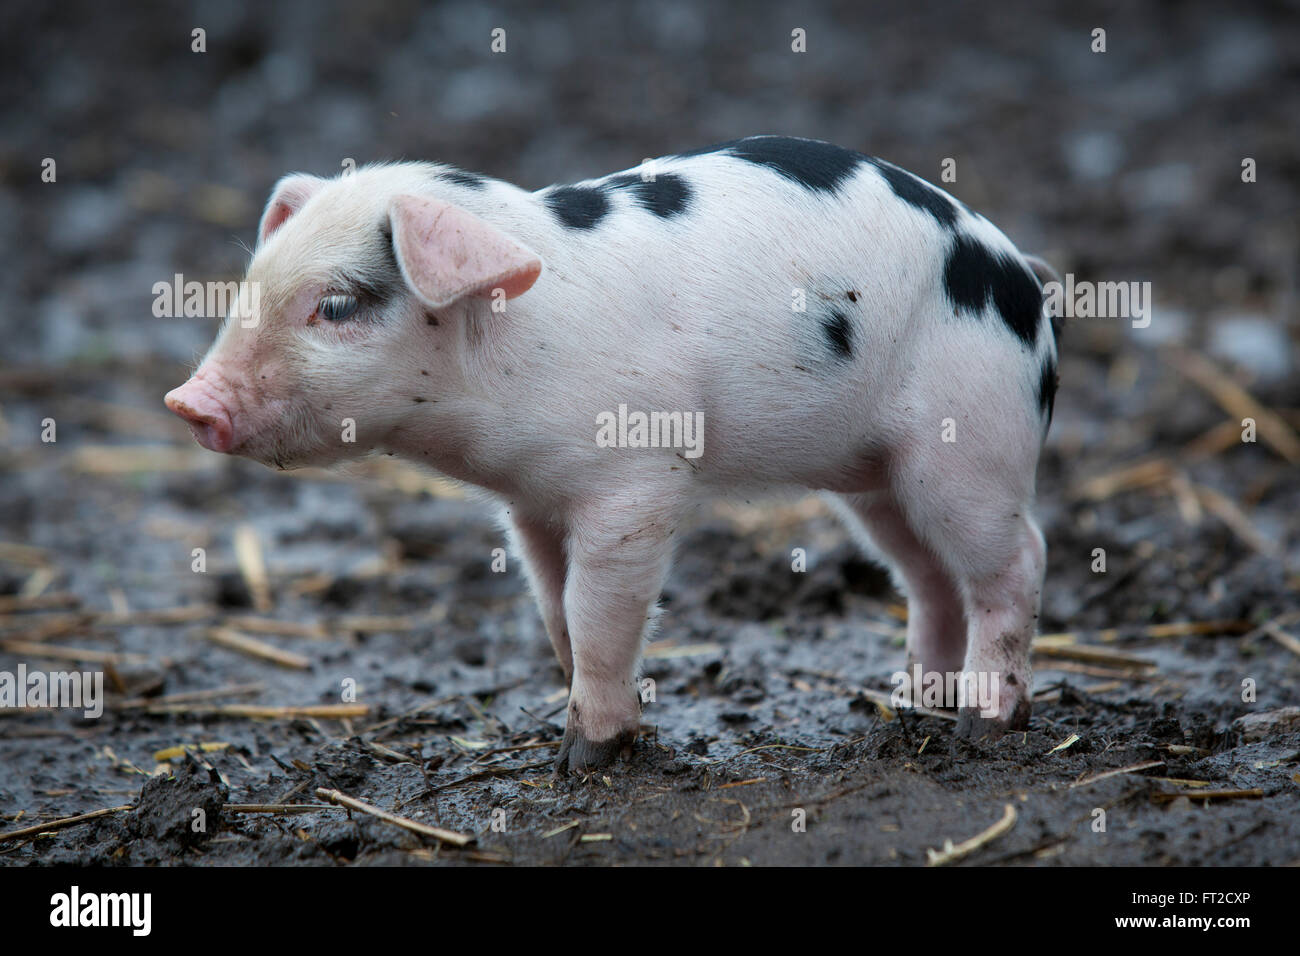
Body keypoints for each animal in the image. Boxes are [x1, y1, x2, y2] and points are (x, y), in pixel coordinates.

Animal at [165, 136, 1061, 773]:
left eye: (338, 306)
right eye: (250, 285)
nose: (188, 402)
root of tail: (1024, 276)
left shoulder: (636, 483)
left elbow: (598, 614)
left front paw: (586, 758)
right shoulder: (529, 505)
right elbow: (554, 612)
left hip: (968, 444)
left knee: (1018, 557)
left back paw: (985, 723)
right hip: (877, 478)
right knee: (929, 576)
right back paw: (914, 698)